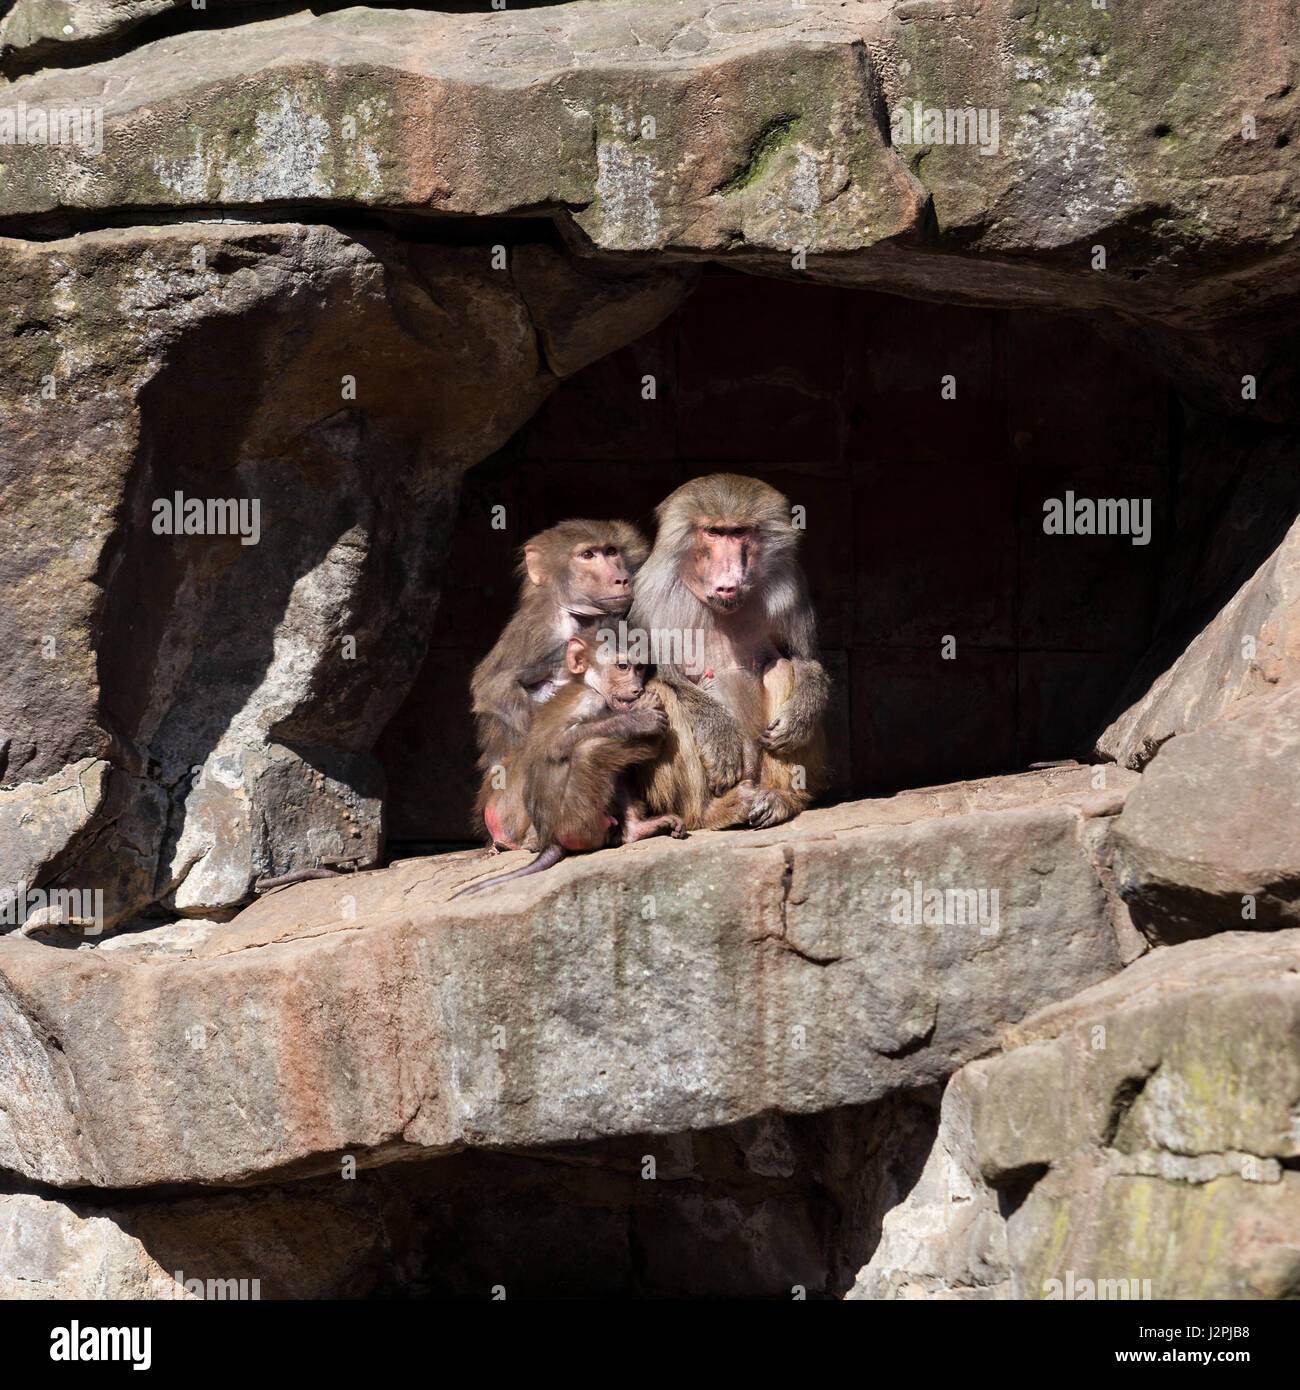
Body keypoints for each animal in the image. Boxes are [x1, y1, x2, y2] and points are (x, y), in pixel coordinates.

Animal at [453, 627, 686, 898]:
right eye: (622, 666)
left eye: (639, 668)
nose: (637, 689)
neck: (587, 684)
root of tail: (552, 839)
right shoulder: (589, 700)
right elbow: (557, 743)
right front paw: (640, 718)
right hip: (578, 823)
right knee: (588, 751)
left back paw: (636, 830)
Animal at [627, 473, 829, 831]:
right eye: (713, 532)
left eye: (738, 532)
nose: (728, 583)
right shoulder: (652, 595)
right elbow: (666, 677)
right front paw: (721, 738)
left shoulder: (789, 587)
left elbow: (806, 660)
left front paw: (799, 717)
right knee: (660, 693)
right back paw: (712, 812)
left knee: (781, 668)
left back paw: (779, 799)